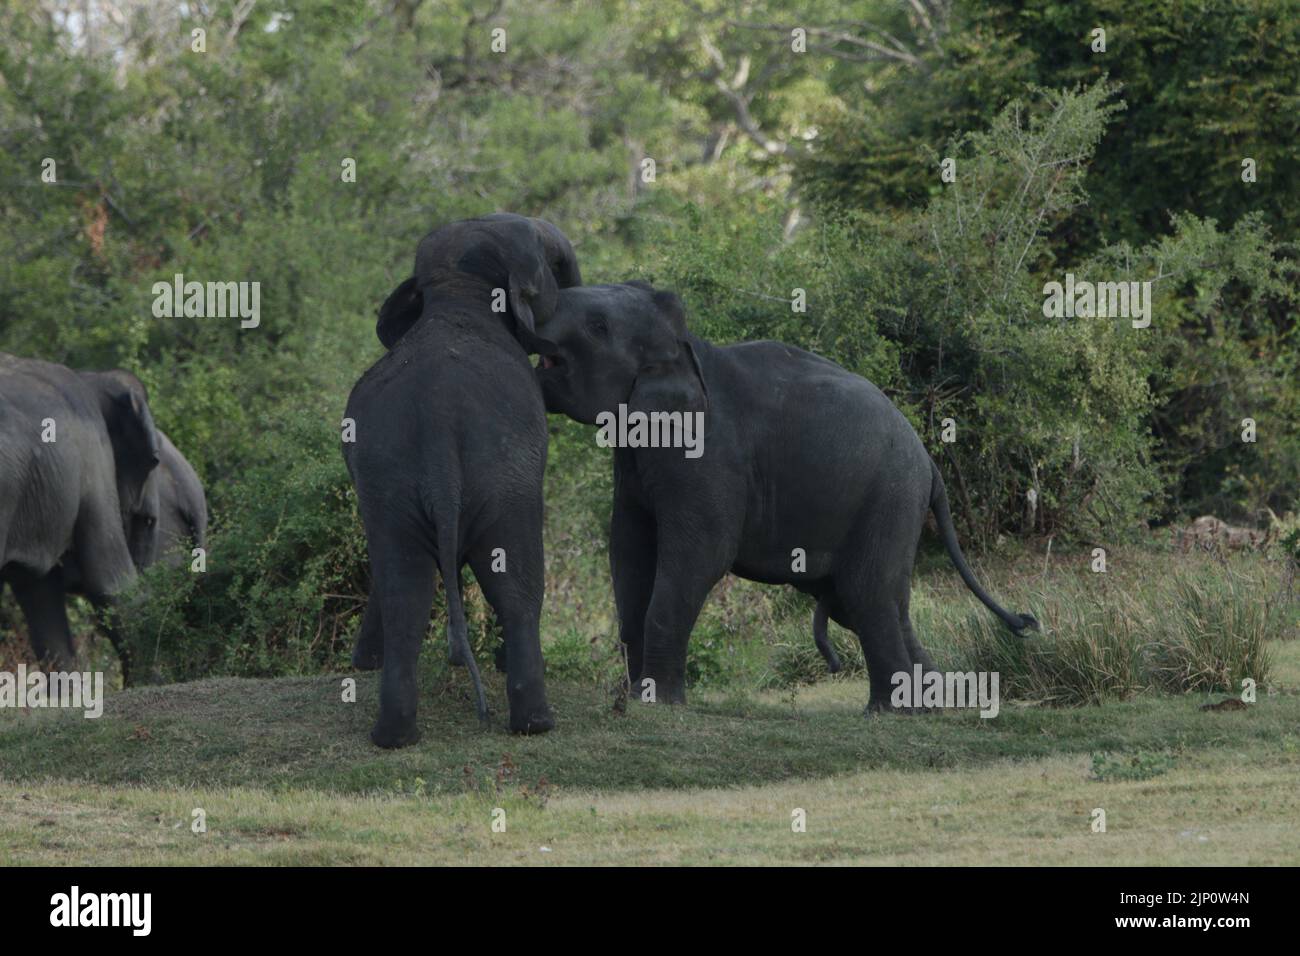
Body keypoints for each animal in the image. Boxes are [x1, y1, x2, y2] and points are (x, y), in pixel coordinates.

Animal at [343, 213, 581, 748]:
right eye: (547, 261)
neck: (456, 290)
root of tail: (437, 435)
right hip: (506, 482)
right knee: (518, 587)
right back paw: (537, 723)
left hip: (391, 490)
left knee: (405, 592)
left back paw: (394, 736)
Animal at [534, 281, 1038, 711]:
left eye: (597, 327)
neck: (684, 345)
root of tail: (931, 466)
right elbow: (629, 553)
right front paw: (634, 695)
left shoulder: (708, 455)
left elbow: (700, 555)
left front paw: (654, 703)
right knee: (882, 602)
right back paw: (927, 706)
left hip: (890, 497)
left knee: (867, 593)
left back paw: (889, 712)